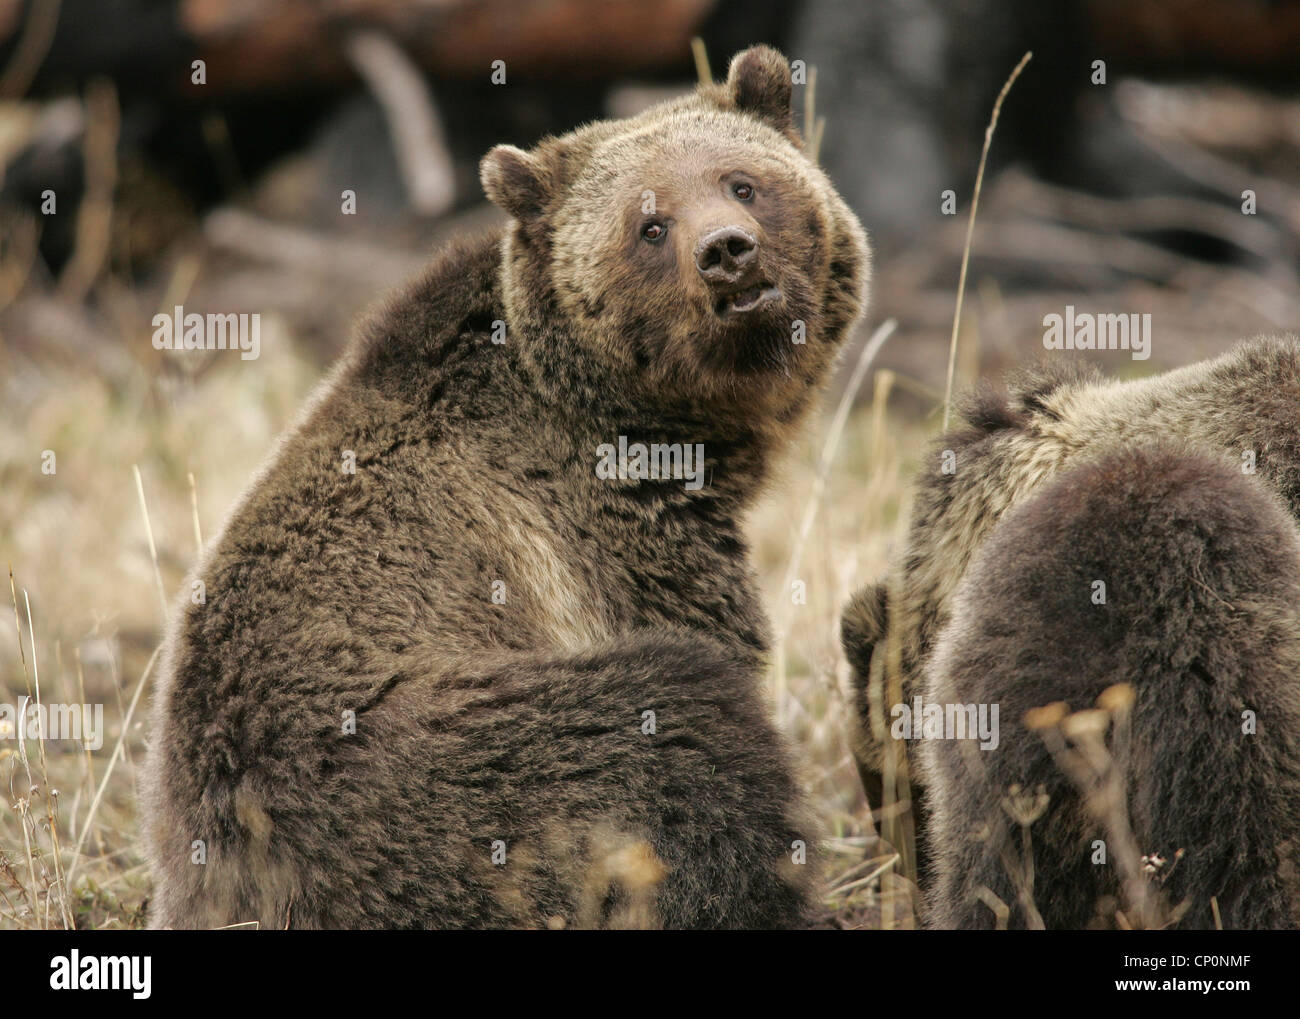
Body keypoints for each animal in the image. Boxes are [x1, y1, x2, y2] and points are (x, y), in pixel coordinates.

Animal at [139, 45, 872, 929]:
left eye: (741, 182)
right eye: (649, 225)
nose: (728, 252)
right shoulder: (609, 545)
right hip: (441, 770)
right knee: (685, 733)